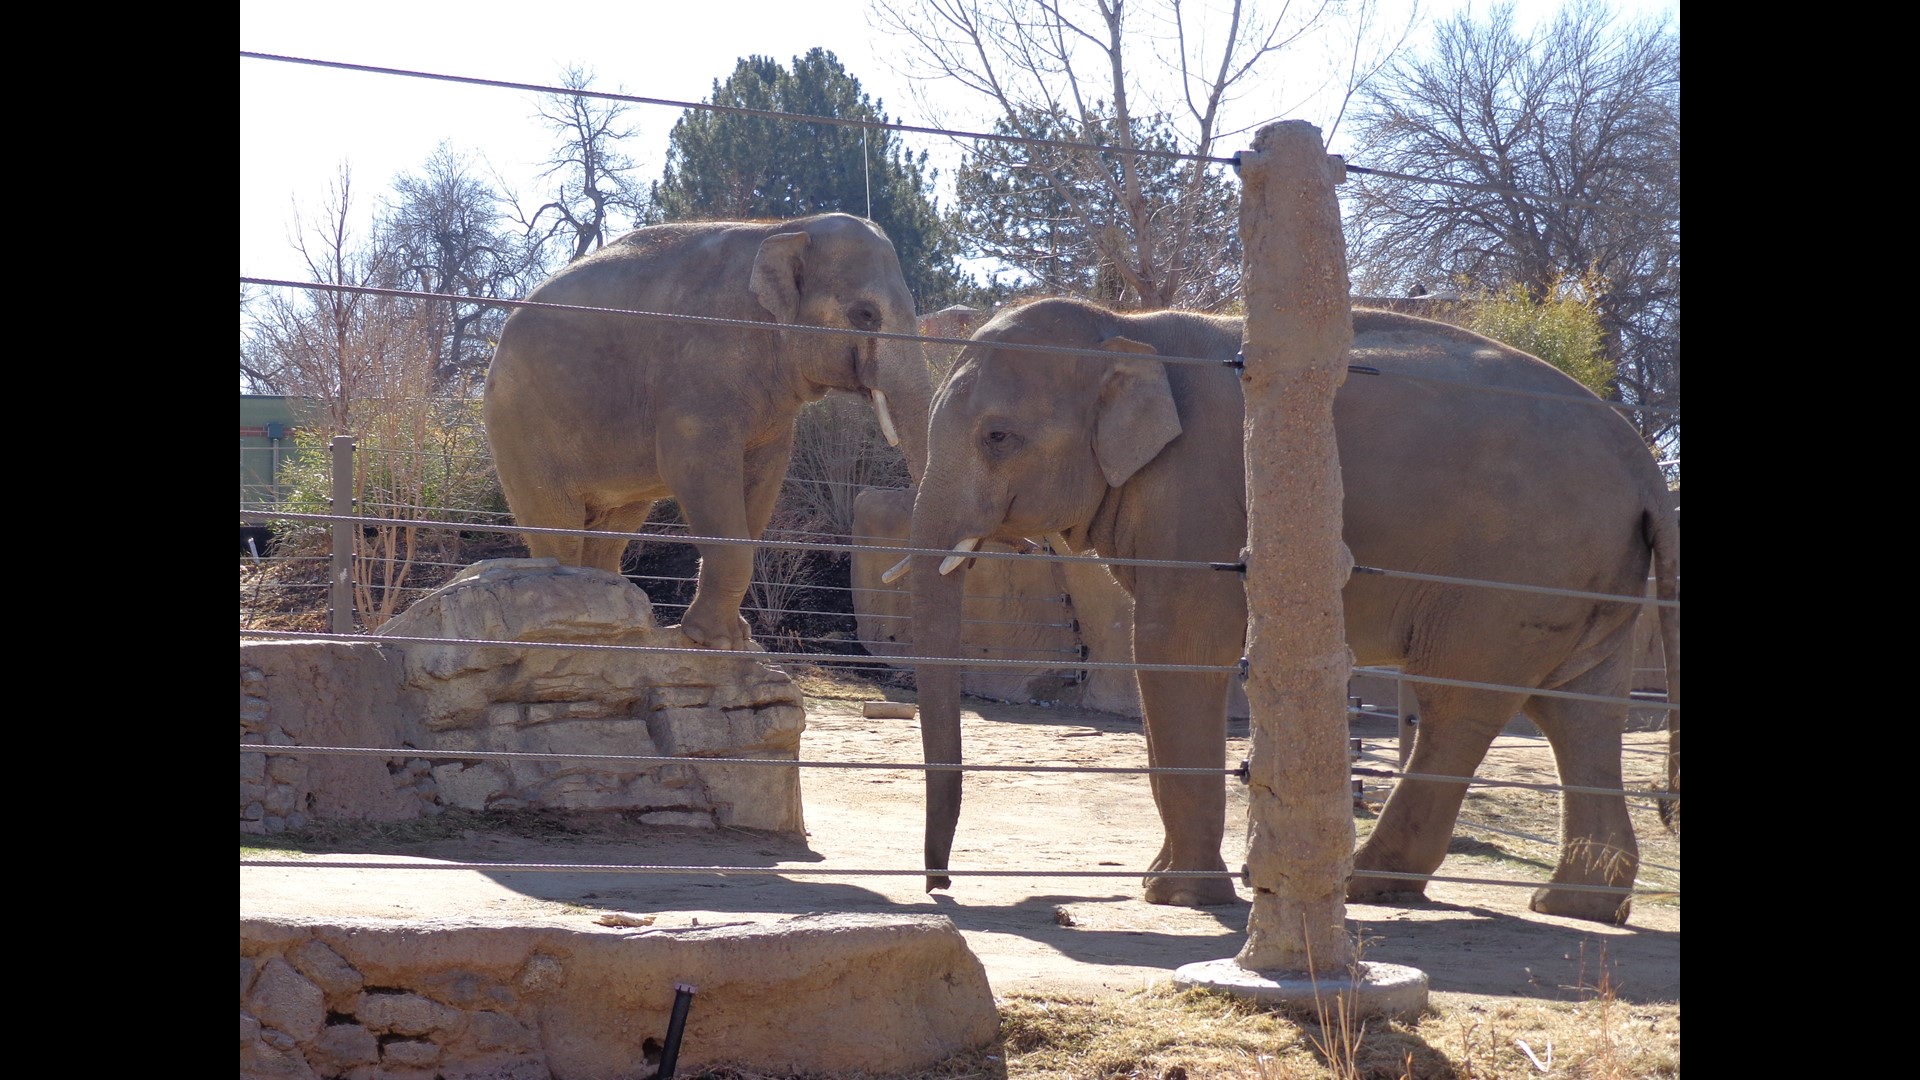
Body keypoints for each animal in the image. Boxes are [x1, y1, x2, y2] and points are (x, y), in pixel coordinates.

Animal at [482, 213, 932, 650]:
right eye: (865, 315)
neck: (783, 227)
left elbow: (765, 476)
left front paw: (735, 639)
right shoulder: (696, 369)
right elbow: (695, 469)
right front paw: (714, 641)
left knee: (614, 525)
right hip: (519, 424)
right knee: (556, 522)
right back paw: (573, 626)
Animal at [901, 296, 1679, 925]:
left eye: (997, 438)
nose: (942, 886)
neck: (1126, 328)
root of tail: (1646, 466)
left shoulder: (1202, 493)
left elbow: (1178, 648)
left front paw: (1172, 895)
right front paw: (1175, 885)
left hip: (1515, 571)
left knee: (1460, 703)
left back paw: (1372, 884)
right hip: (1587, 575)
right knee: (1578, 709)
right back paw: (1574, 905)